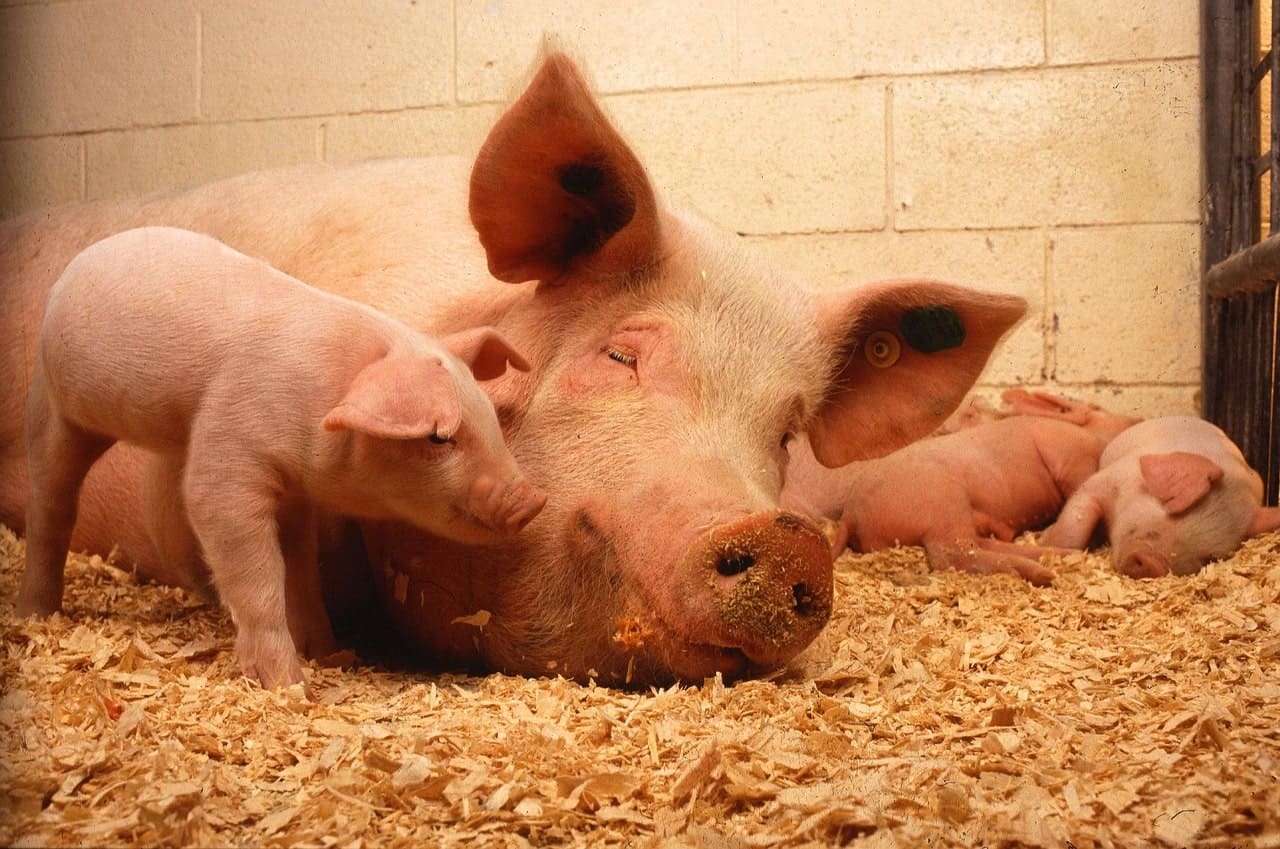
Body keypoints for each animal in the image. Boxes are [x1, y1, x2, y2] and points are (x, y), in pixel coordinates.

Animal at [17, 226, 545, 687]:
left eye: (489, 416)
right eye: (438, 438)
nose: (532, 501)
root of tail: (79, 262)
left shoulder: (294, 493)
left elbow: (301, 571)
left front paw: (330, 654)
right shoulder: (227, 450)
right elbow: (255, 568)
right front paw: (289, 684)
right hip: (55, 407)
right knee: (50, 502)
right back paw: (37, 614)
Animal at [1041, 416, 1280, 578]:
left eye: (1209, 557)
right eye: (1174, 508)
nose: (1152, 564)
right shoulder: (1104, 481)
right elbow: (1076, 523)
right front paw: (1050, 545)